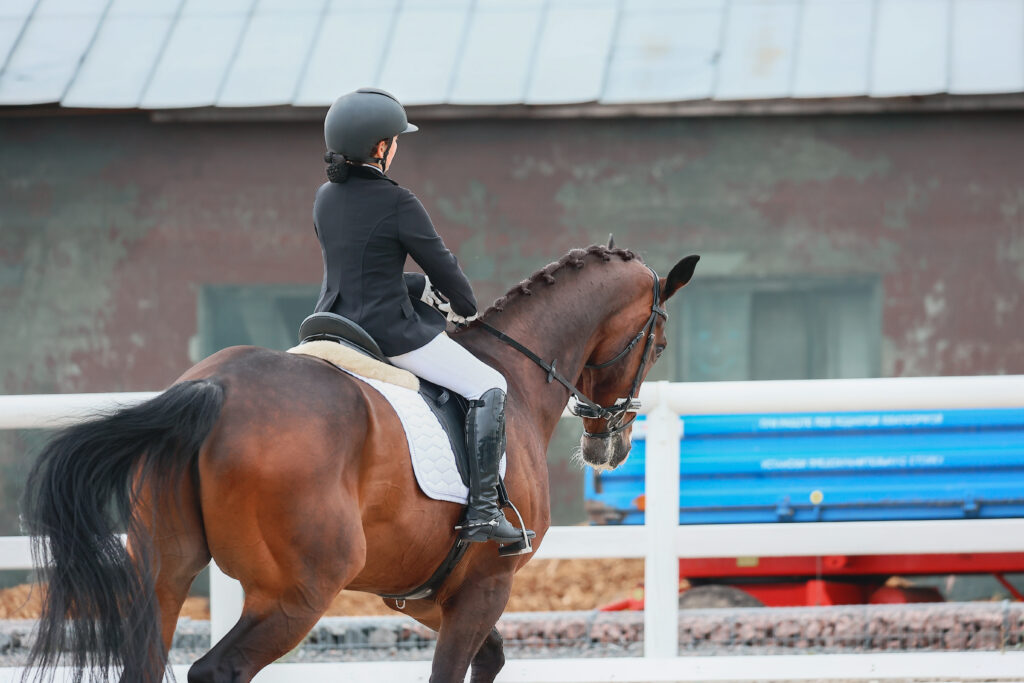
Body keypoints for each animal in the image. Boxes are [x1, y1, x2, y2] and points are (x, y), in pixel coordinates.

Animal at [21, 245, 698, 683]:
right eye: (660, 342)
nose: (610, 447)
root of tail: (212, 388)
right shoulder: (485, 585)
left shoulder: (425, 592)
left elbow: (491, 659)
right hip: (298, 592)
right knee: (219, 671)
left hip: (165, 571)